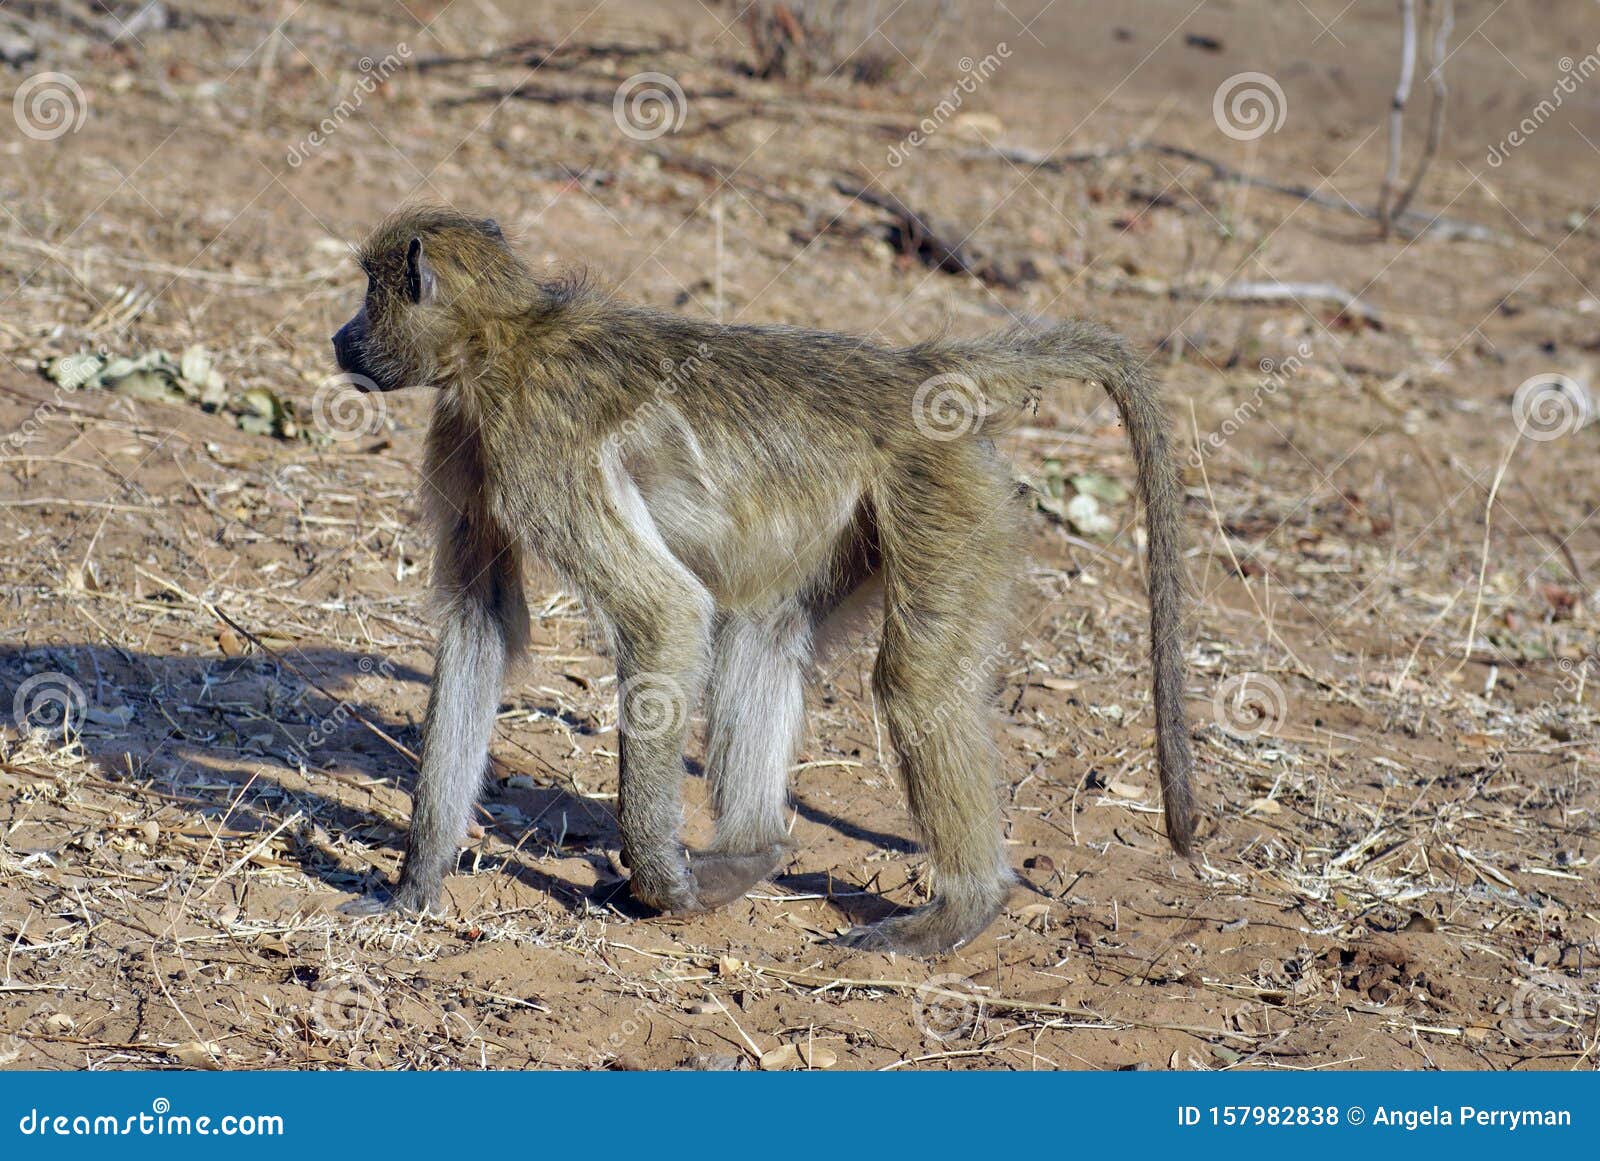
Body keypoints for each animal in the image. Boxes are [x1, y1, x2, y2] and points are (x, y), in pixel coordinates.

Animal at [332, 205, 1194, 955]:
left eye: (369, 294)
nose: (340, 338)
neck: (504, 338)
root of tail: (913, 368)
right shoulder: (467, 436)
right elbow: (480, 622)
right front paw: (414, 885)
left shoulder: (532, 440)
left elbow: (665, 613)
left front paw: (661, 877)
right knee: (762, 633)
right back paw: (748, 854)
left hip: (947, 496)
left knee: (914, 682)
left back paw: (962, 908)